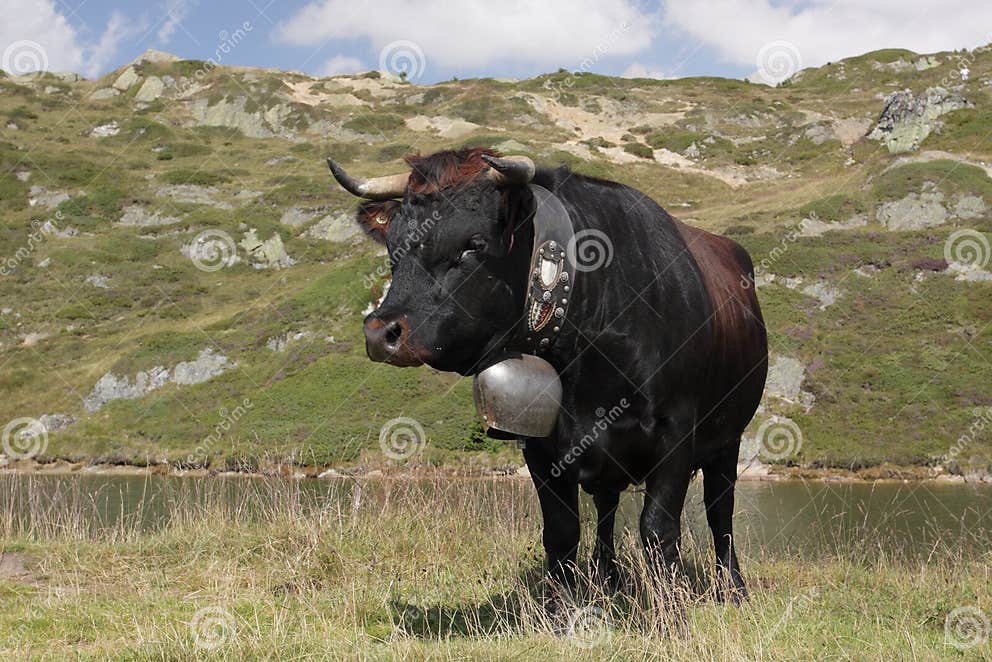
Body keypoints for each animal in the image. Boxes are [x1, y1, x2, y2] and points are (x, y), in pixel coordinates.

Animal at [326, 147, 768, 608]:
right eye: (393, 249)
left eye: (473, 245)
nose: (380, 332)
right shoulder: (541, 444)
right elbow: (561, 531)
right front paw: (563, 610)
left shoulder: (676, 433)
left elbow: (658, 528)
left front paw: (671, 611)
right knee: (607, 508)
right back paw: (608, 579)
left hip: (728, 440)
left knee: (720, 511)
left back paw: (732, 587)